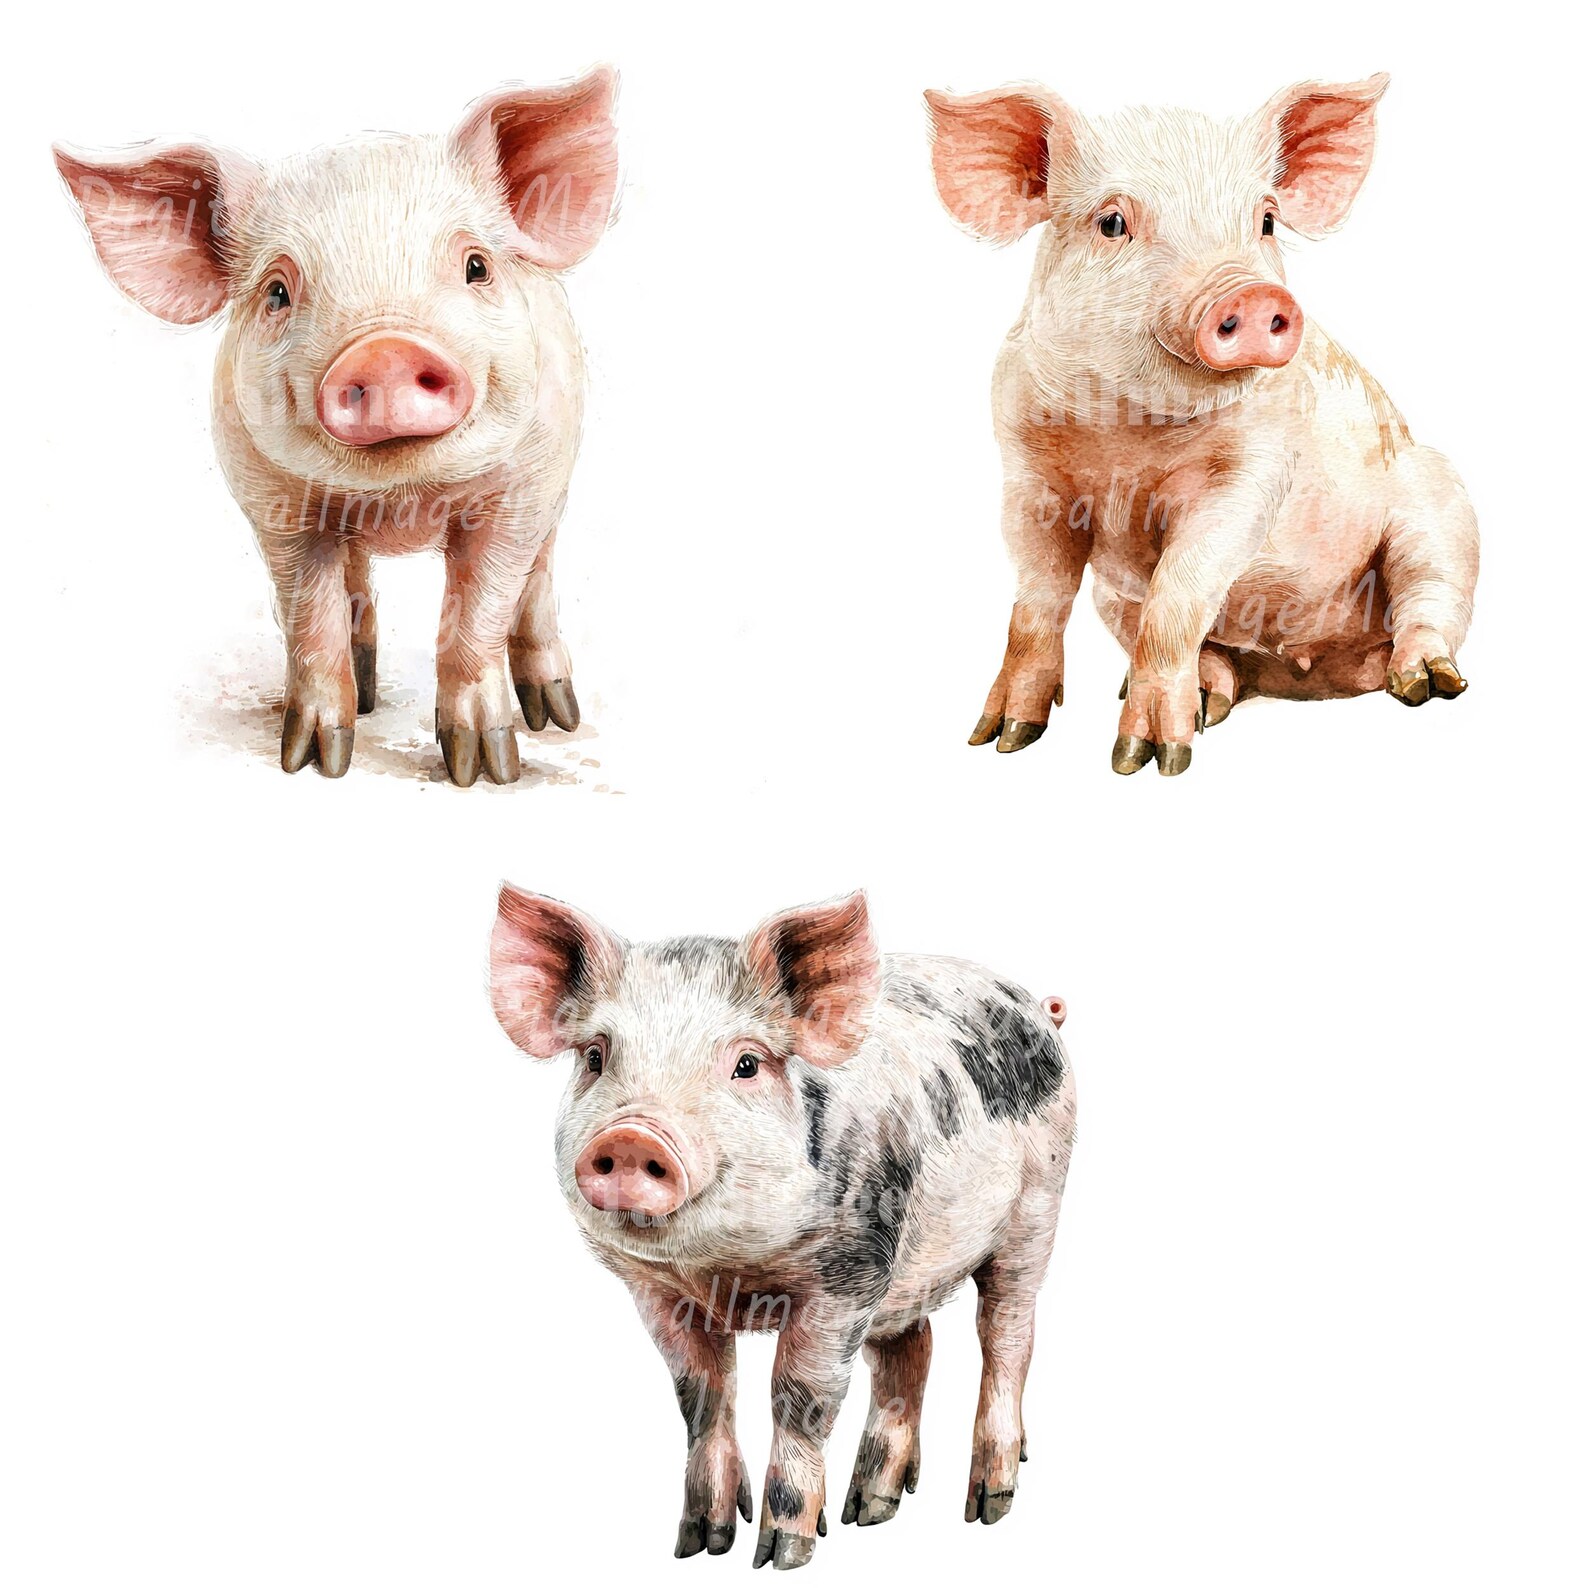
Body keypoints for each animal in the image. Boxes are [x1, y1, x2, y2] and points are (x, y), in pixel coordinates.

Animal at [53, 69, 619, 785]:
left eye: (477, 266)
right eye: (276, 291)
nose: (385, 351)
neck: (401, 504)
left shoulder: (519, 494)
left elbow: (479, 610)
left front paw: (484, 771)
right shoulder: (276, 508)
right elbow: (308, 618)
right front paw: (313, 763)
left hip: (555, 487)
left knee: (538, 578)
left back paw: (556, 717)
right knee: (354, 585)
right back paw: (369, 691)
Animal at [489, 887, 1076, 1570]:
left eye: (746, 1063)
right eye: (594, 1057)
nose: (633, 1137)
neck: (721, 1270)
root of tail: (1038, 1006)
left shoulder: (846, 1273)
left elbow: (801, 1398)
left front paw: (782, 1554)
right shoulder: (658, 1292)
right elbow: (701, 1395)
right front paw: (701, 1543)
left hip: (1036, 1212)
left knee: (1008, 1336)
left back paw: (986, 1504)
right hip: (909, 1269)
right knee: (912, 1350)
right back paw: (869, 1509)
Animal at [926, 74, 1479, 775]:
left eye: (1265, 220)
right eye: (1113, 222)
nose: (1252, 294)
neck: (1127, 435)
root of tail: (1307, 675)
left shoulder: (1251, 476)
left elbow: (1177, 600)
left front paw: (1147, 760)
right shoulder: (1027, 479)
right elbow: (1037, 604)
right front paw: (1000, 739)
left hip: (1441, 505)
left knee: (1430, 603)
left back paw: (1427, 684)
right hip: (1116, 597)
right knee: (1198, 652)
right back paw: (1203, 698)